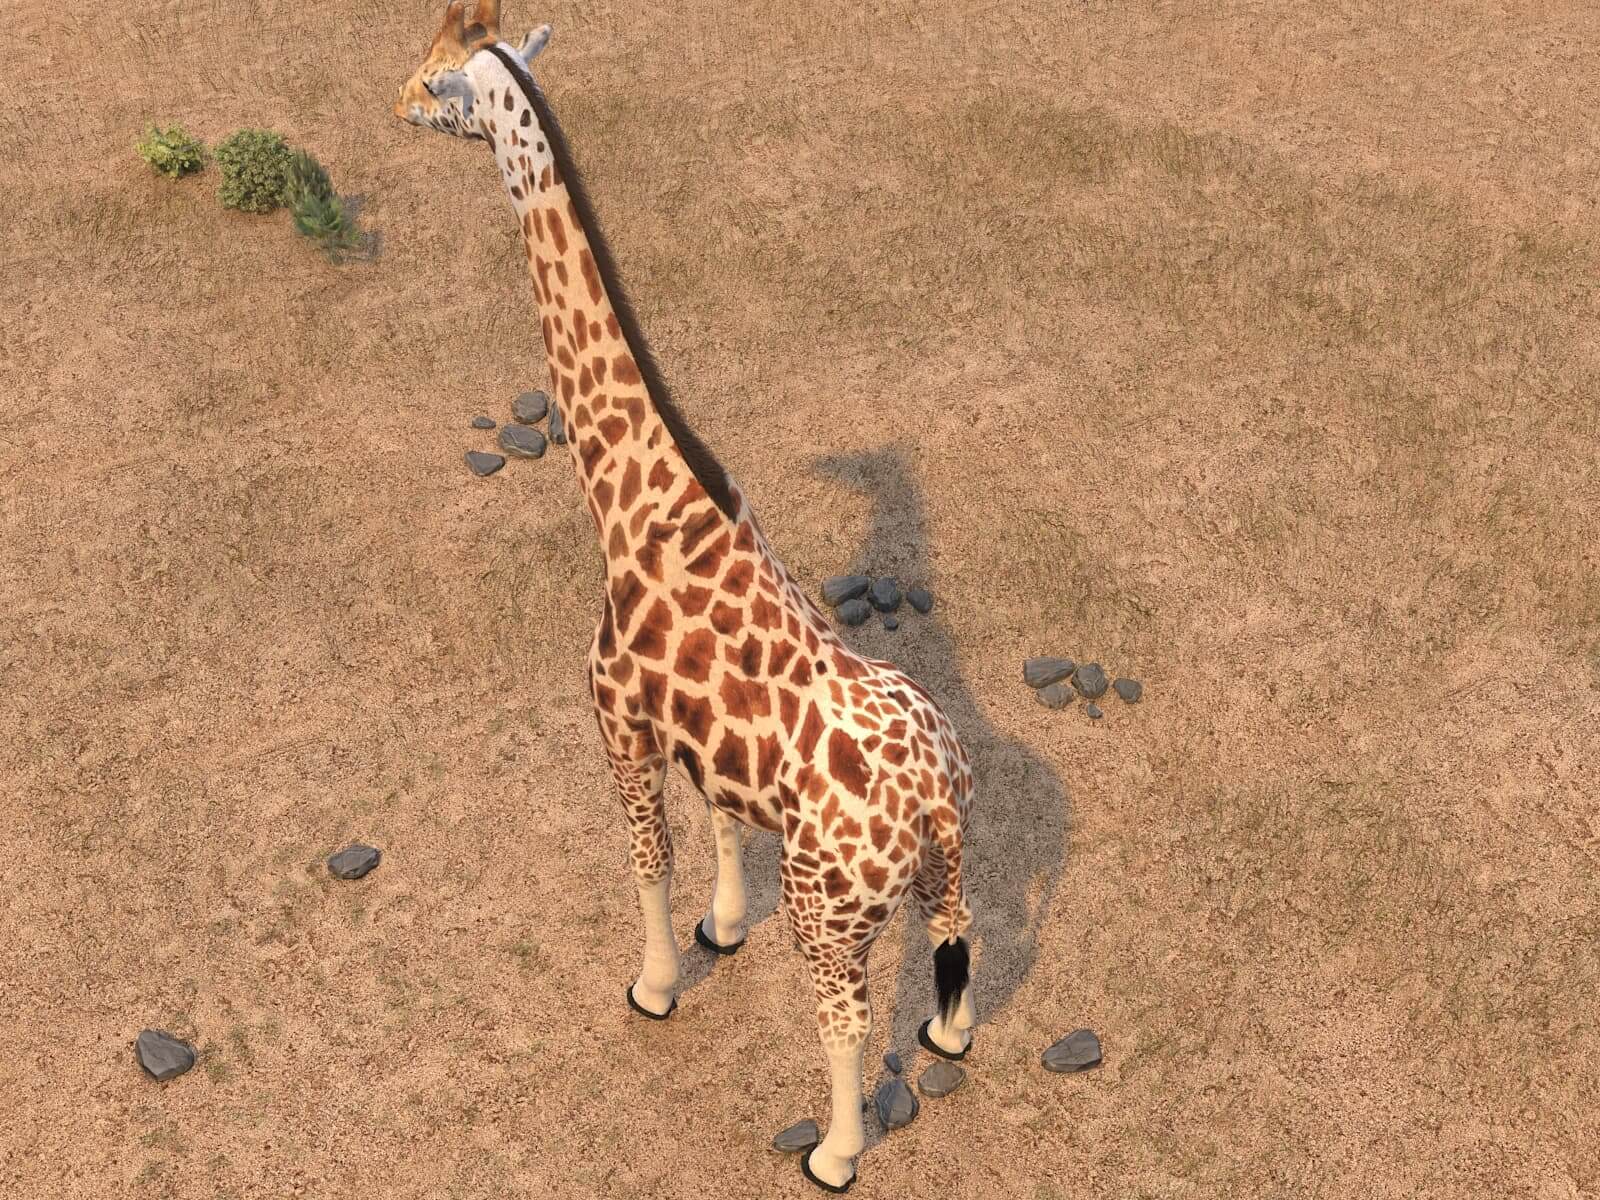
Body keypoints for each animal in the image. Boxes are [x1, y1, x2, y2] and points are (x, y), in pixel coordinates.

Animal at [395, 4, 979, 1190]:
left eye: (439, 84)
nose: (389, 105)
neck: (635, 500)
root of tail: (934, 795)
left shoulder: (615, 718)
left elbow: (646, 859)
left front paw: (655, 987)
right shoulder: (696, 737)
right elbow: (713, 827)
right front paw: (719, 932)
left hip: (829, 905)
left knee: (845, 1020)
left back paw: (834, 1153)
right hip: (944, 864)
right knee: (960, 937)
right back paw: (946, 1038)